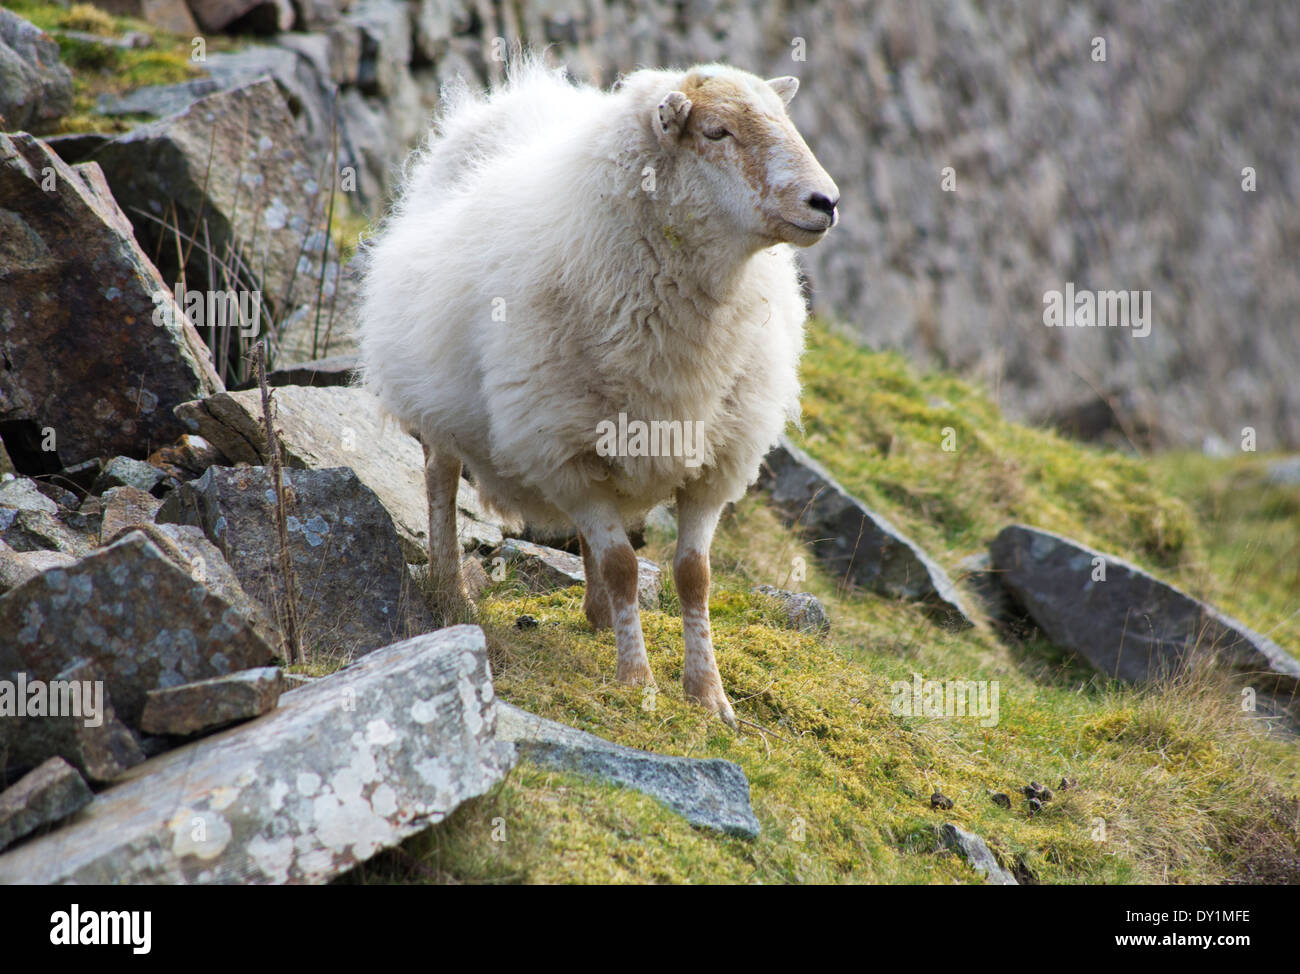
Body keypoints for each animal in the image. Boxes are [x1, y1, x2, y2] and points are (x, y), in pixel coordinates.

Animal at [357, 58, 839, 726]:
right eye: (716, 132)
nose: (827, 202)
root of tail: (518, 97)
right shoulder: (565, 456)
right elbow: (622, 565)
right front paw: (637, 682)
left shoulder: (715, 460)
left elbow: (694, 575)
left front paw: (708, 695)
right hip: (441, 405)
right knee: (440, 482)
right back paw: (452, 593)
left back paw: (596, 614)